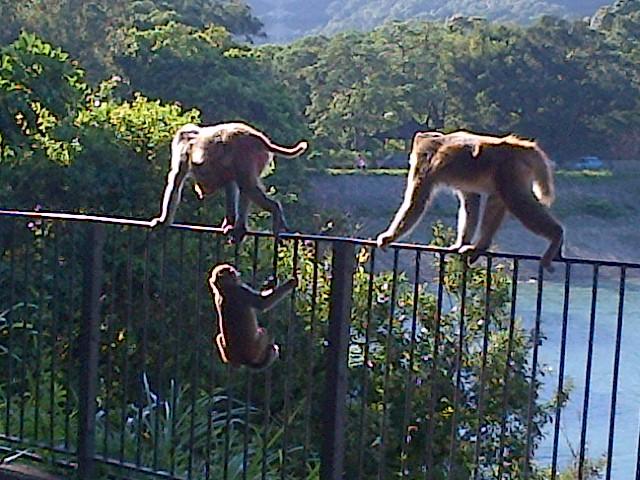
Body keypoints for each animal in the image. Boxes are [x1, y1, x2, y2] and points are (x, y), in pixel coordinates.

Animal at [150, 122, 309, 243]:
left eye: (178, 140)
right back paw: (239, 226)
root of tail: (260, 139)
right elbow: (230, 183)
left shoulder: (184, 153)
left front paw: (163, 220)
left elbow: (176, 183)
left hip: (248, 155)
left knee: (246, 185)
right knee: (244, 185)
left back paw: (272, 210)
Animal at [376, 130, 564, 272]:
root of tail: (516, 146)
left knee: (516, 200)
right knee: (498, 198)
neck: (435, 143)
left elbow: (416, 203)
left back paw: (556, 234)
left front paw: (388, 237)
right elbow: (471, 200)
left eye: (415, 155)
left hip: (509, 168)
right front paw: (461, 242)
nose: (410, 159)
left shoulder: (425, 167)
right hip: (507, 171)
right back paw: (481, 246)